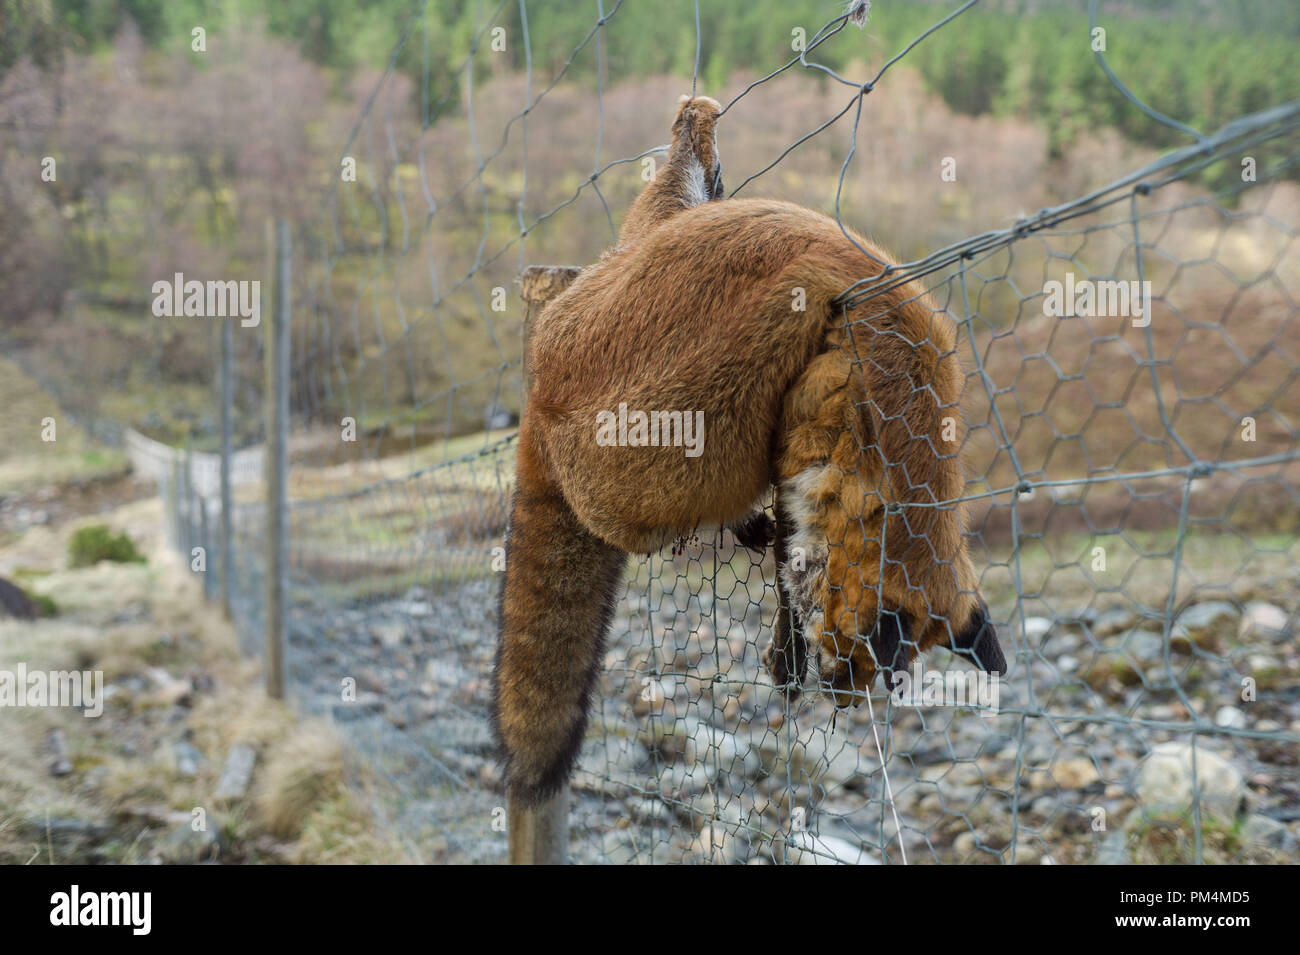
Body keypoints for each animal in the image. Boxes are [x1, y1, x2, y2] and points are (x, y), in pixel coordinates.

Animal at [491, 95, 1006, 806]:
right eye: (865, 665)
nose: (843, 702)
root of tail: (540, 384)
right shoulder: (806, 447)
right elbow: (791, 570)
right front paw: (786, 659)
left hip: (645, 251)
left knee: (665, 190)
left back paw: (694, 132)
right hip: (676, 459)